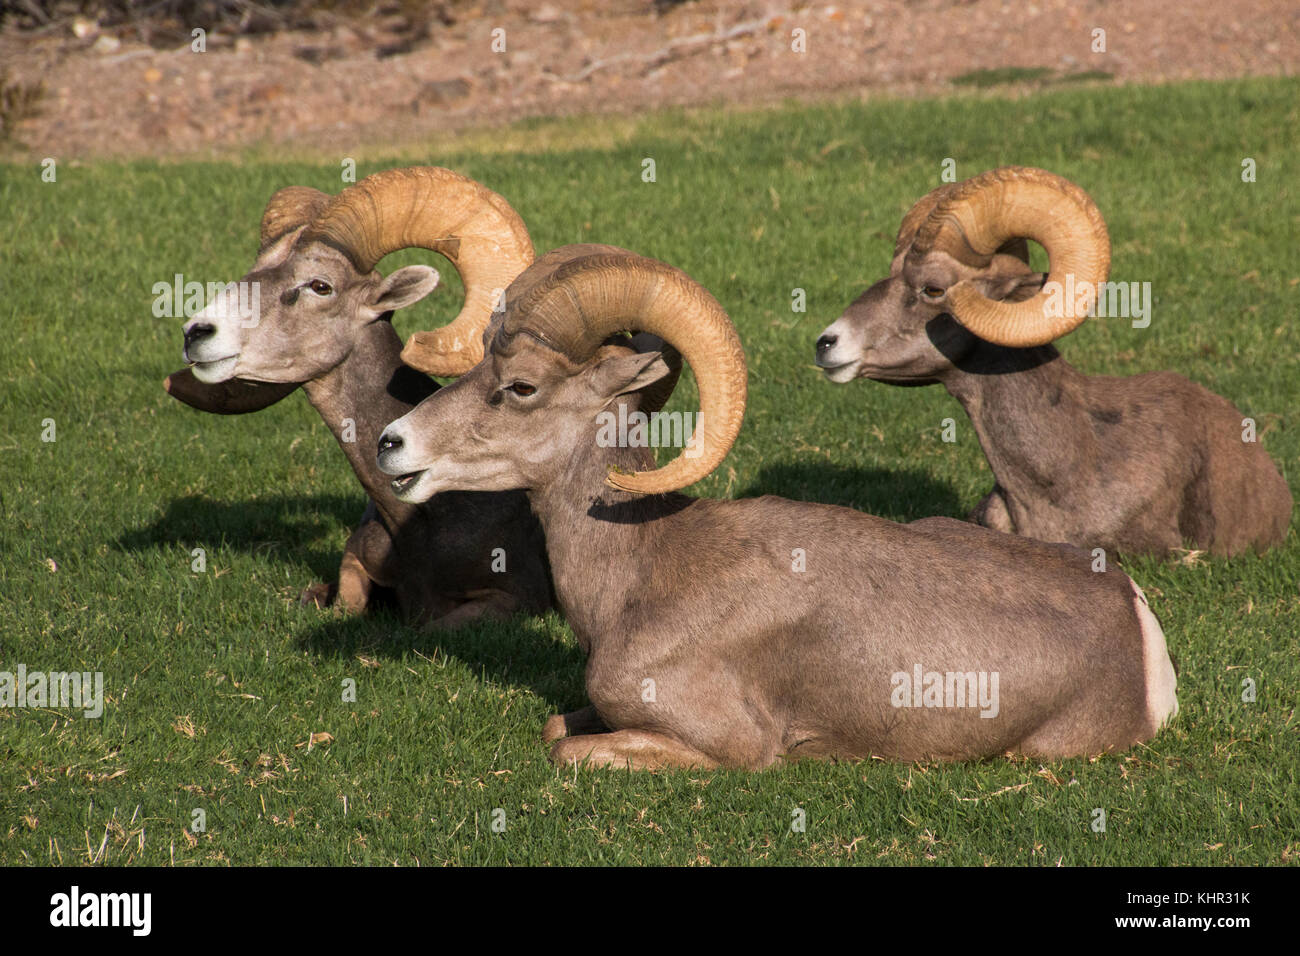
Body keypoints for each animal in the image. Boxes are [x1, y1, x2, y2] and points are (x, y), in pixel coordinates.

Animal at [373, 246, 1178, 770]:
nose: (391, 443)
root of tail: (1137, 629)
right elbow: (552, 725)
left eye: (521, 387)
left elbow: (568, 750)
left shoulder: (726, 747)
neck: (640, 573)